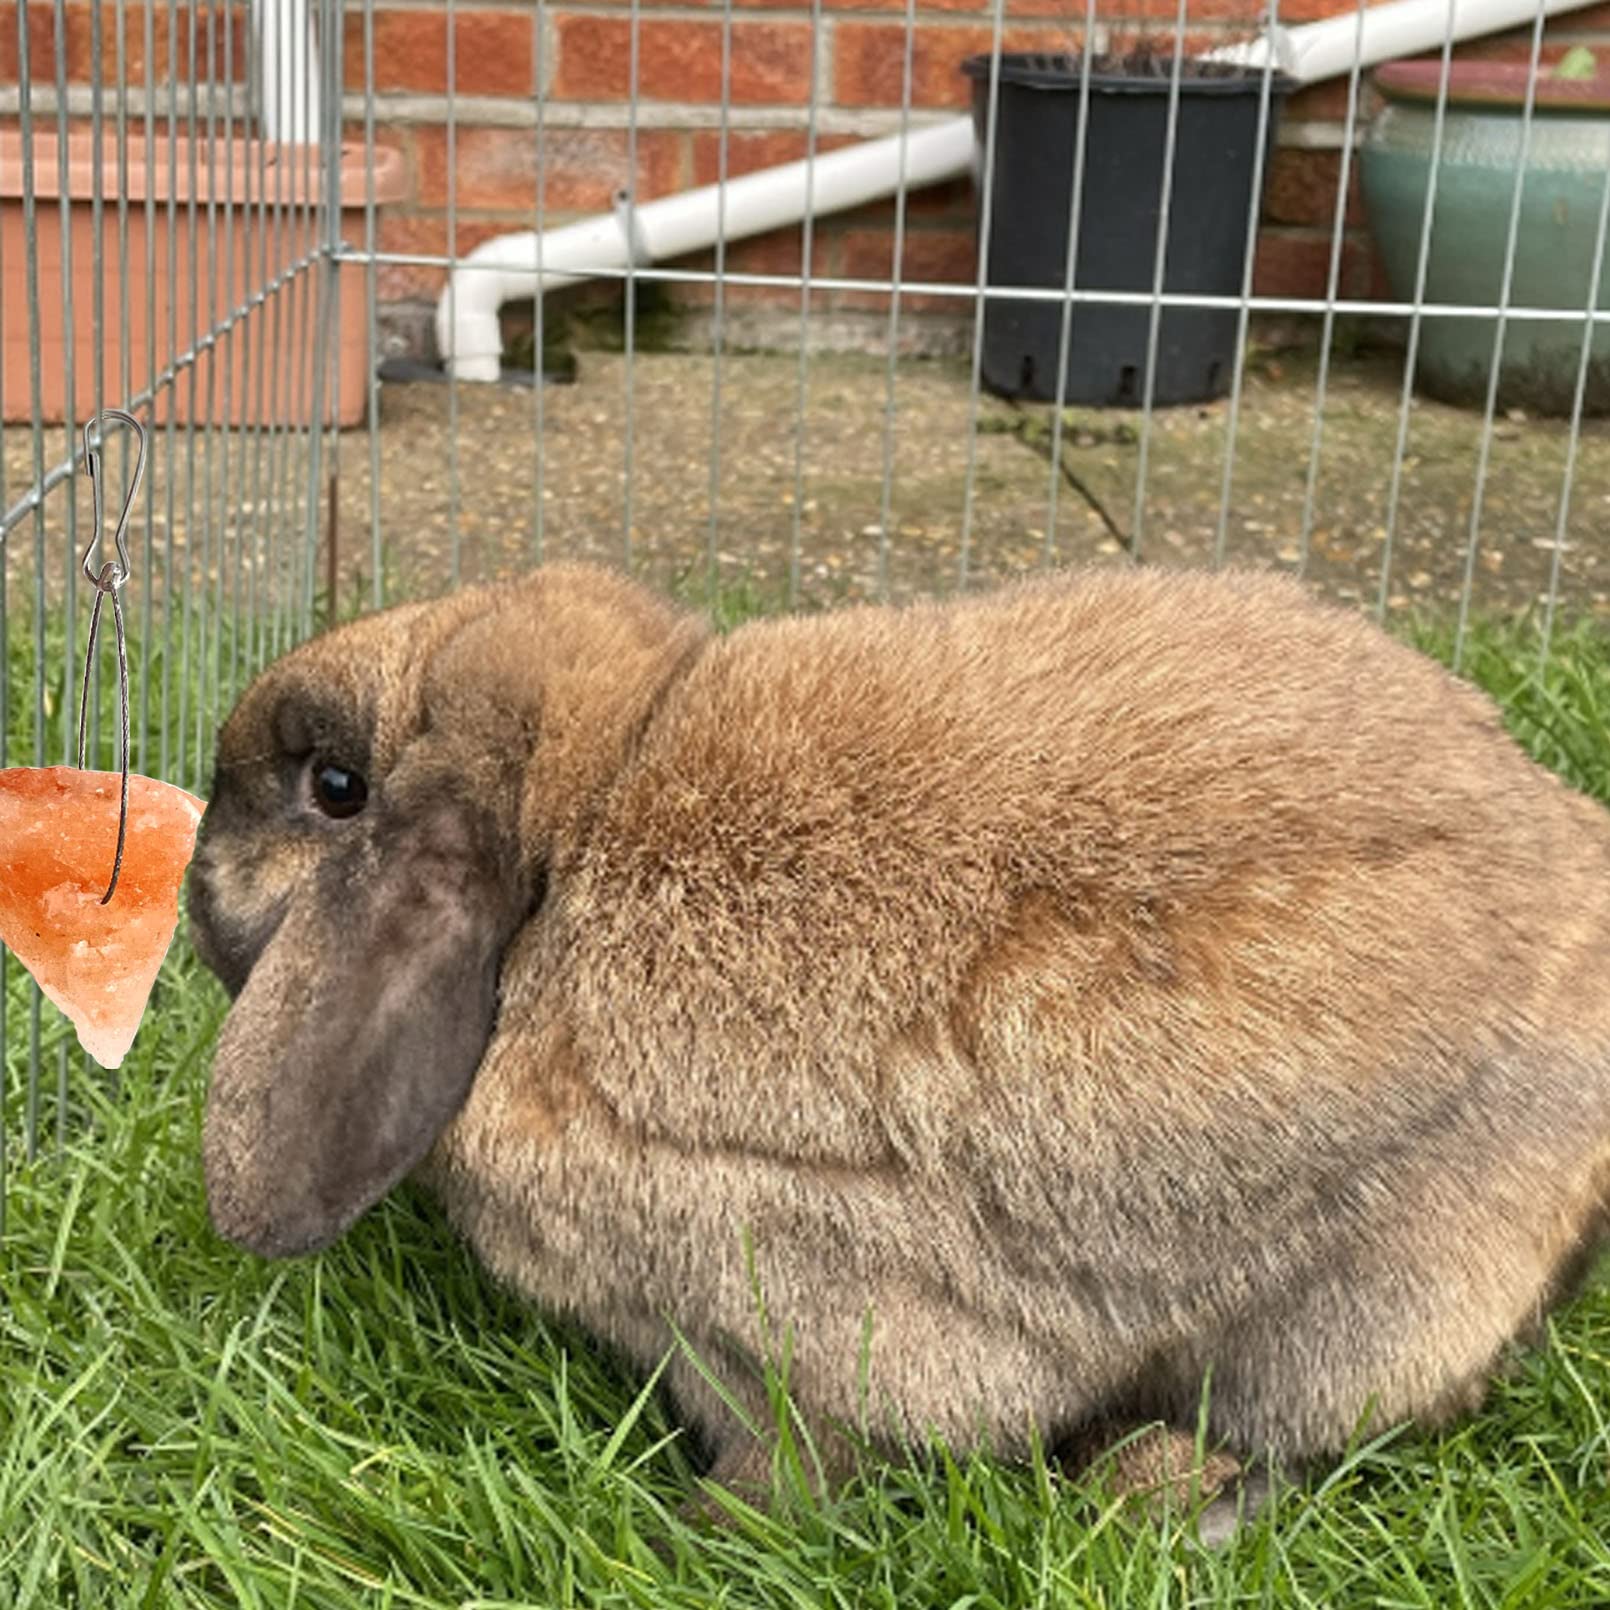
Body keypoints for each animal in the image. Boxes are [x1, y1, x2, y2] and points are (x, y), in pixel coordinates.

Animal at [191, 559, 1610, 1512]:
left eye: (333, 789)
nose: (196, 887)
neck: (574, 843)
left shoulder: (776, 1308)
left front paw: (709, 1522)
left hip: (1356, 1312)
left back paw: (1157, 1491)